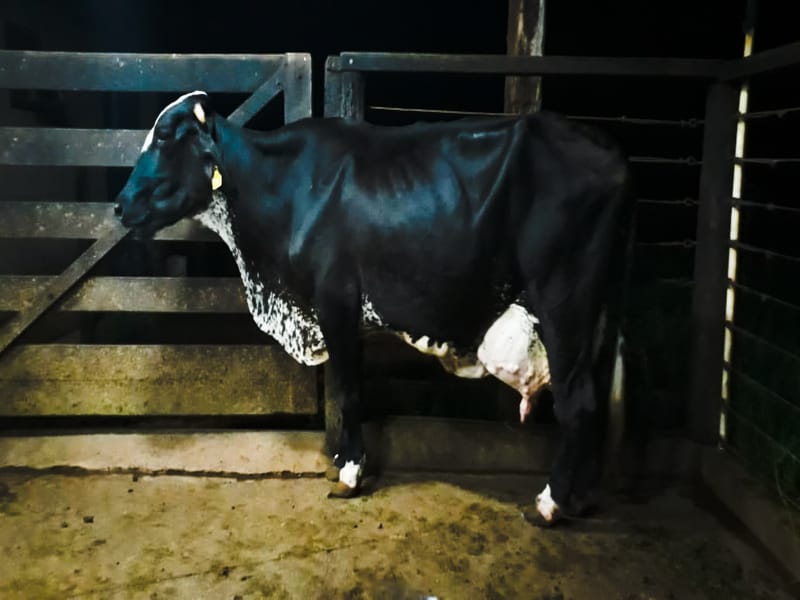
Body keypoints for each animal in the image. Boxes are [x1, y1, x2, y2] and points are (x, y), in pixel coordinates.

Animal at [114, 91, 633, 526]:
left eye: (166, 136)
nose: (120, 206)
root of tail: (608, 151)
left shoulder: (336, 303)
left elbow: (347, 391)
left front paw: (349, 474)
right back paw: (580, 495)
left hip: (565, 302)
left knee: (578, 402)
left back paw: (550, 504)